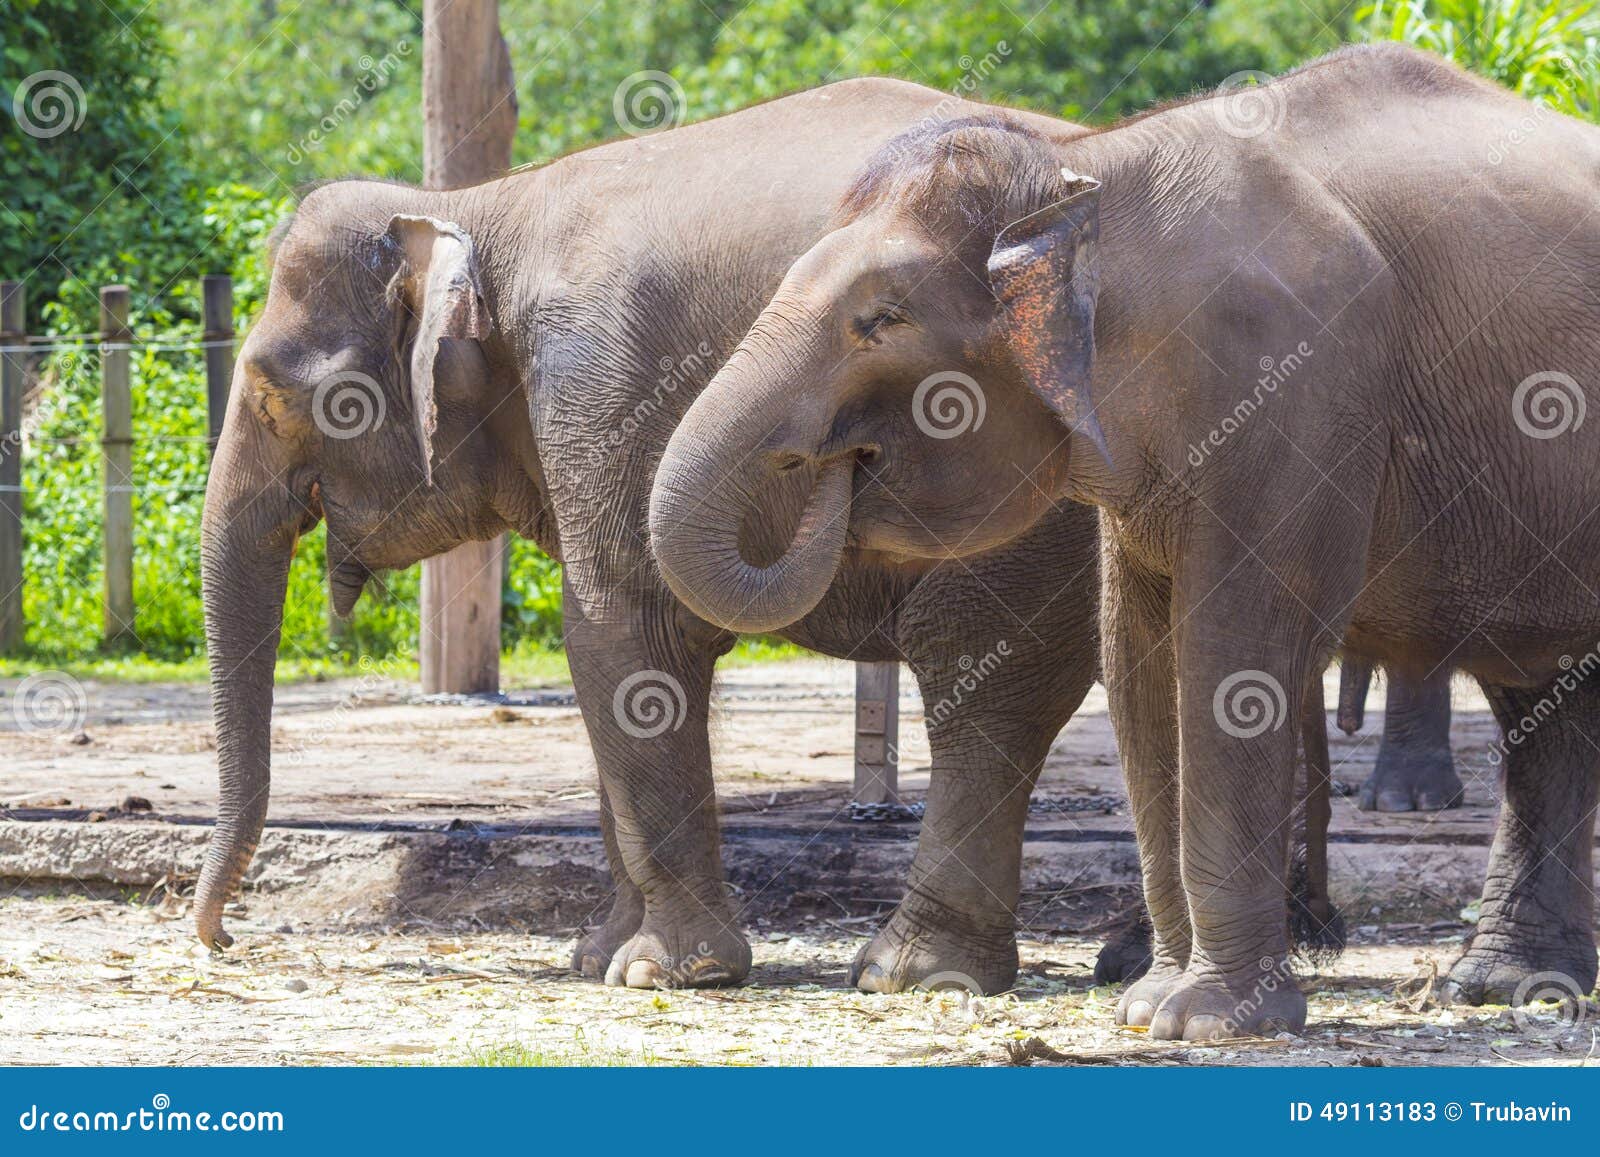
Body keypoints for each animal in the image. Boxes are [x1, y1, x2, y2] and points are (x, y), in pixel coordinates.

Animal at [647, 43, 1600, 1037]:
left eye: (882, 320)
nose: (829, 463)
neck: (1091, 171)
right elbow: (1140, 659)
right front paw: (1149, 1006)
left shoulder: (1296, 386)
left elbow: (1233, 655)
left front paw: (1209, 1022)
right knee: (1550, 699)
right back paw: (1506, 988)